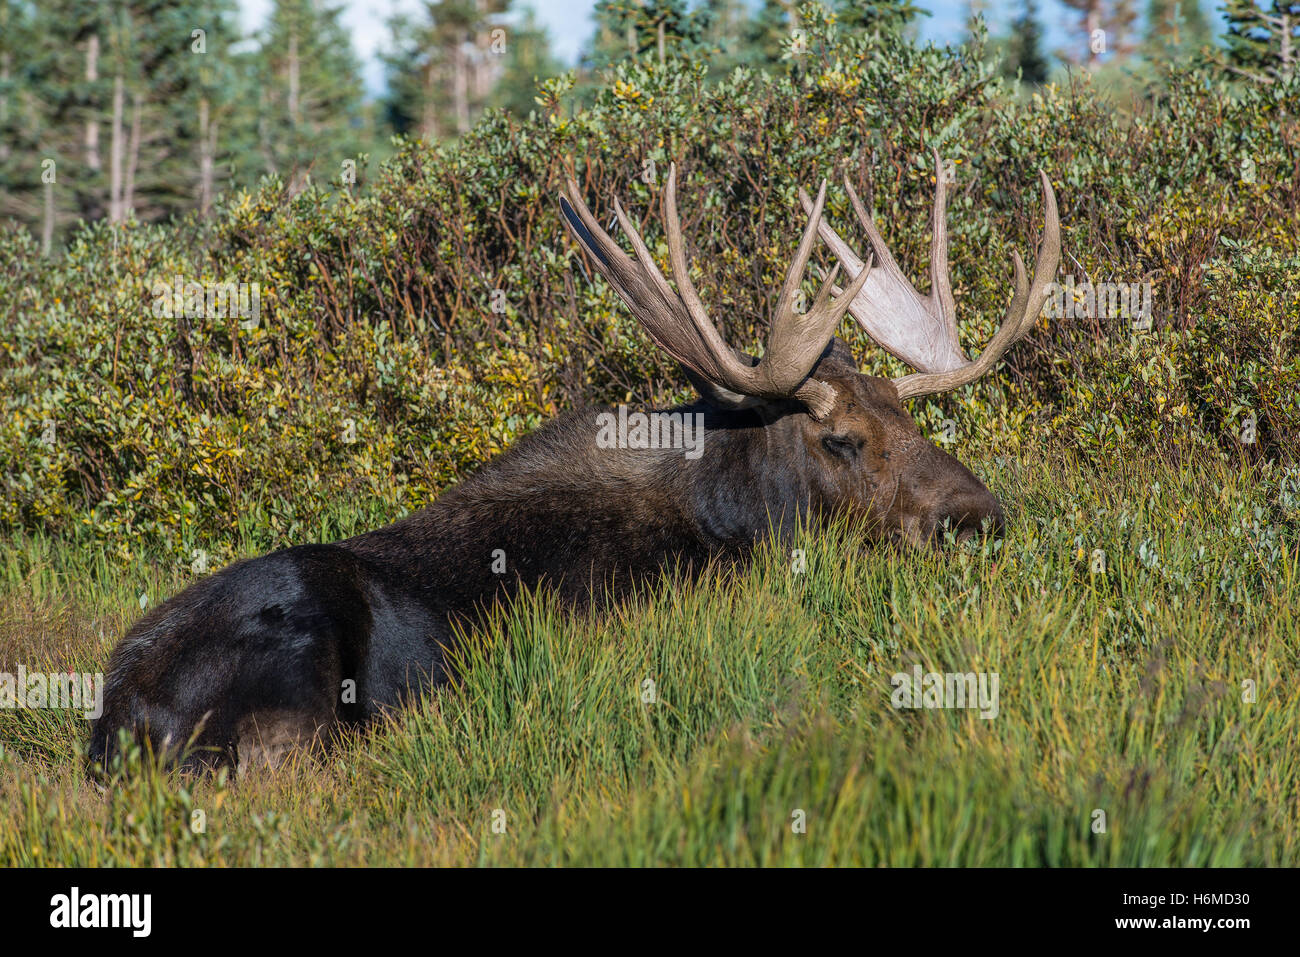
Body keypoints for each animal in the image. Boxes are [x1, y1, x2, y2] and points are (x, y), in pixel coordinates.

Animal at [88, 152, 1059, 775]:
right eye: (842, 439)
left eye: (909, 416)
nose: (979, 517)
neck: (739, 510)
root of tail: (117, 717)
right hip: (294, 684)